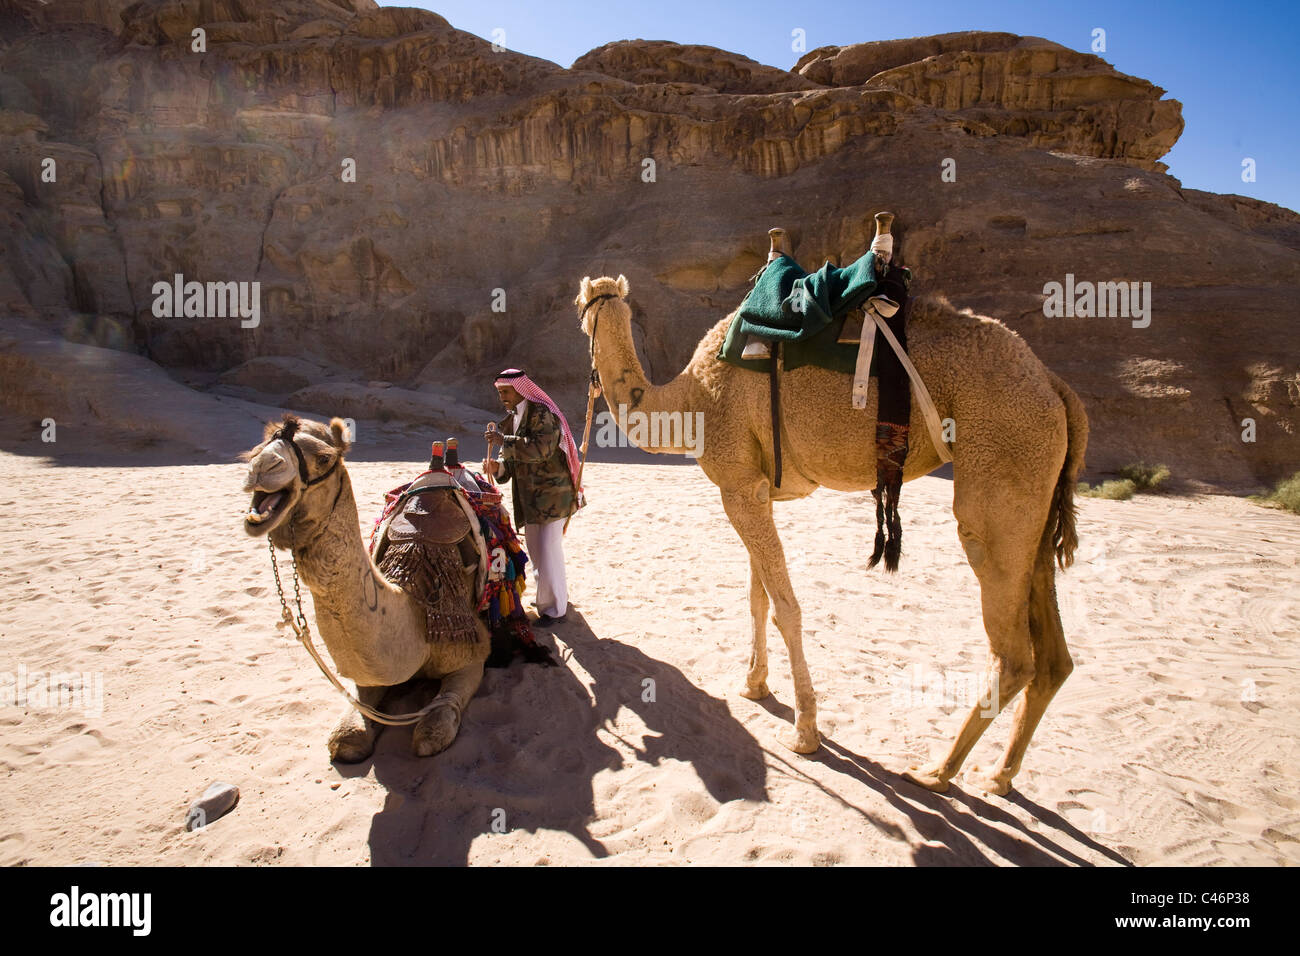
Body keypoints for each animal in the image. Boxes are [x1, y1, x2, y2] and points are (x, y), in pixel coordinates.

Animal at [240, 415, 490, 762]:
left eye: (324, 458)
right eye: (256, 449)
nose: (262, 467)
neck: (414, 601)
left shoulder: (473, 653)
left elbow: (432, 730)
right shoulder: (367, 677)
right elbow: (345, 736)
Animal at [575, 247, 1089, 796]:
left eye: (580, 307)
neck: (689, 400)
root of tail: (1056, 387)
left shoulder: (737, 485)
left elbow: (785, 608)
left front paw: (805, 732)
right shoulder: (756, 487)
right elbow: (758, 598)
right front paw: (754, 685)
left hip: (1000, 471)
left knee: (1013, 651)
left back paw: (936, 772)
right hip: (1037, 500)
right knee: (1054, 657)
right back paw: (998, 776)